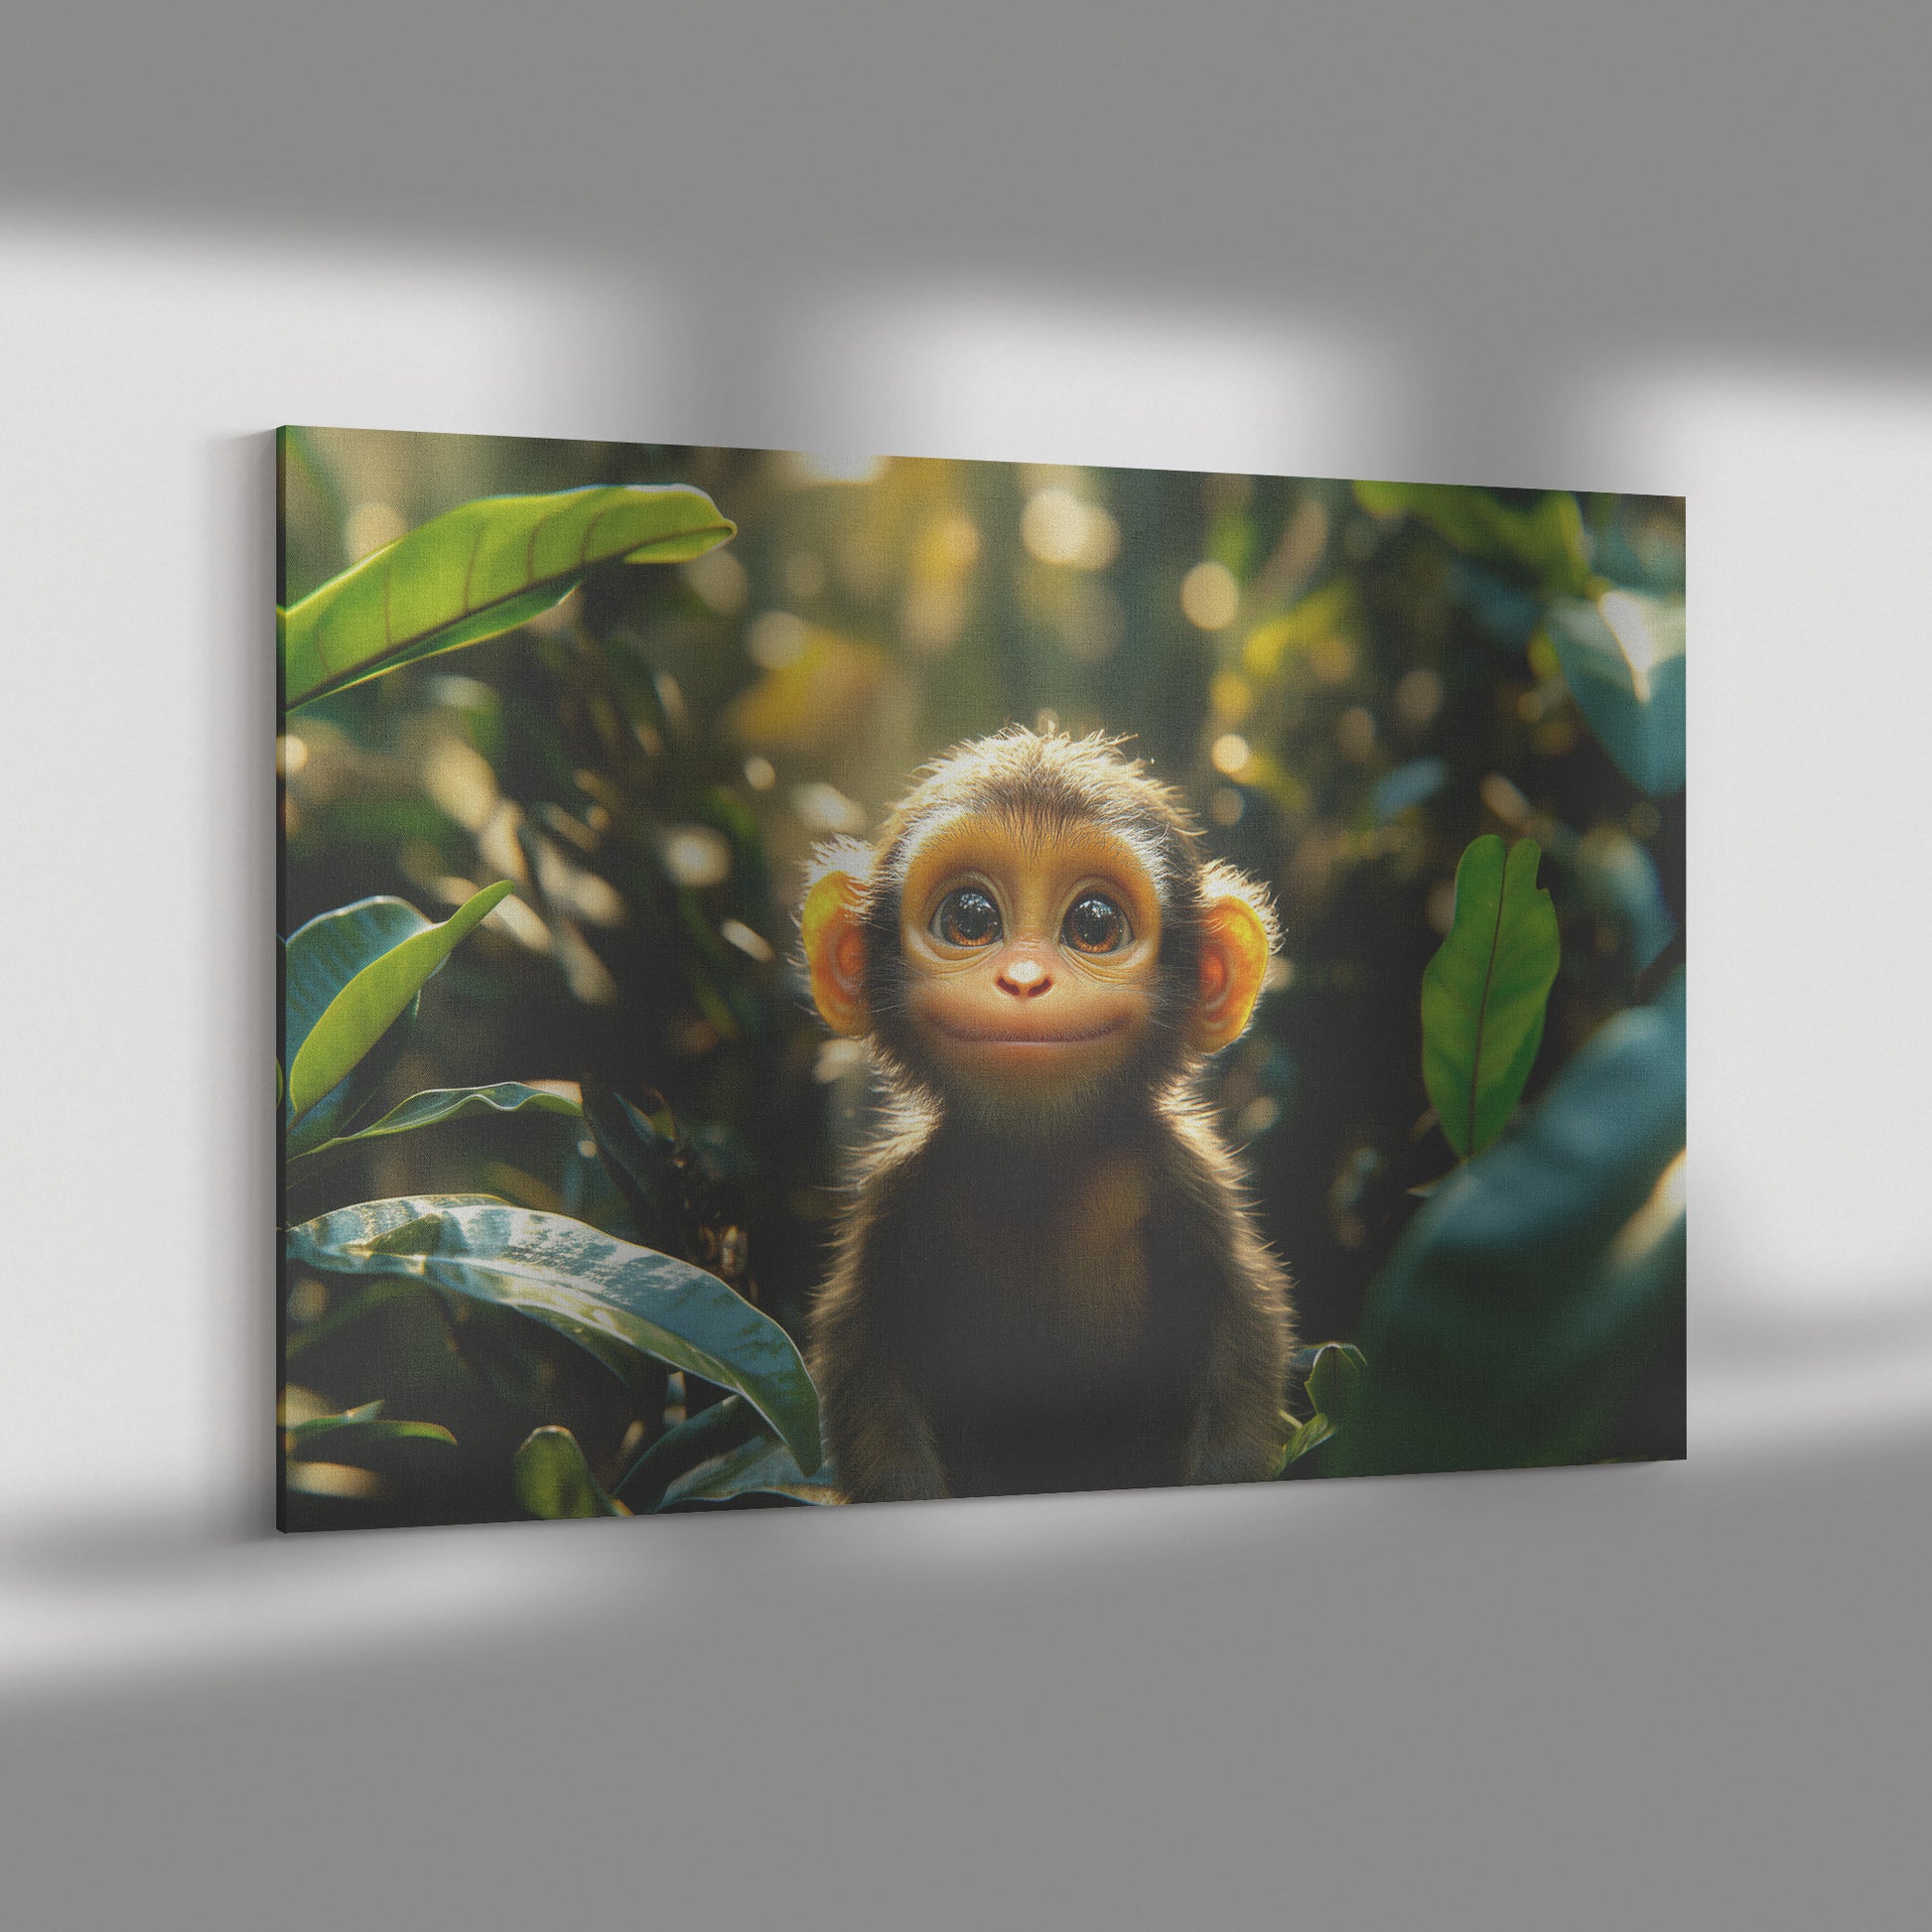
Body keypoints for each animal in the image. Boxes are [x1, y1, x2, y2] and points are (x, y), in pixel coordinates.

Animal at [799, 727, 1293, 1503]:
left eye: (1095, 925)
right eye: (970, 918)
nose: (1025, 980)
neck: (1041, 1168)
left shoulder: (1188, 1181)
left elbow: (1246, 1331)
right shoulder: (897, 1196)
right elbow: (862, 1362)